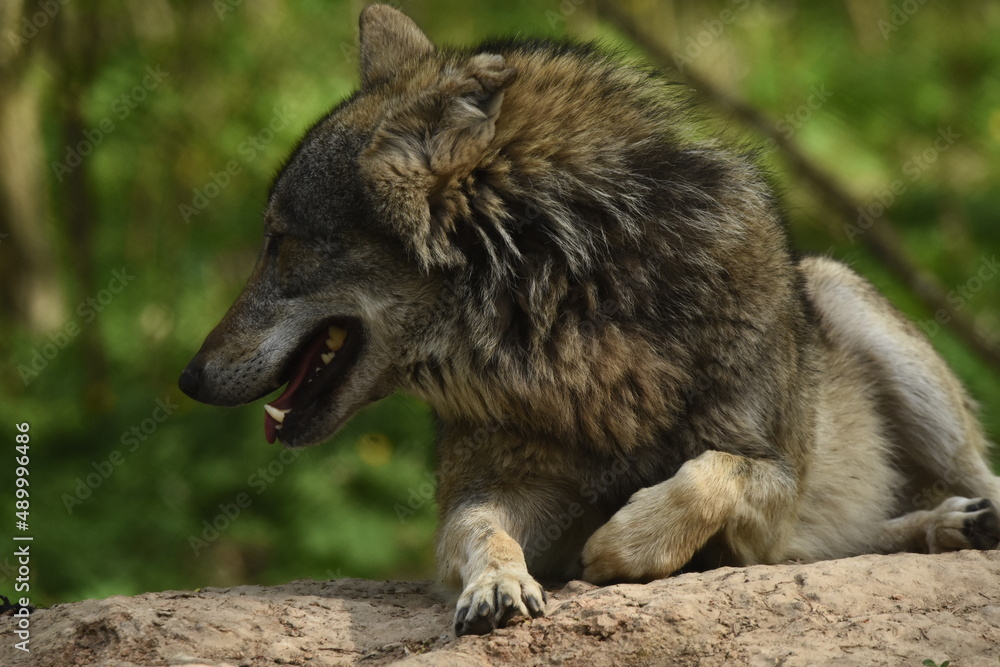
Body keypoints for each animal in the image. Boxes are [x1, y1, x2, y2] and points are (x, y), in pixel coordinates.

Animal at [179, 4, 1000, 636]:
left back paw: (966, 520)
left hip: (856, 310)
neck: (574, 317)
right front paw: (500, 585)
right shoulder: (490, 489)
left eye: (280, 242)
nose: (187, 377)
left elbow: (712, 472)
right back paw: (948, 525)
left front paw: (620, 545)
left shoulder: (774, 494)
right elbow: (479, 528)